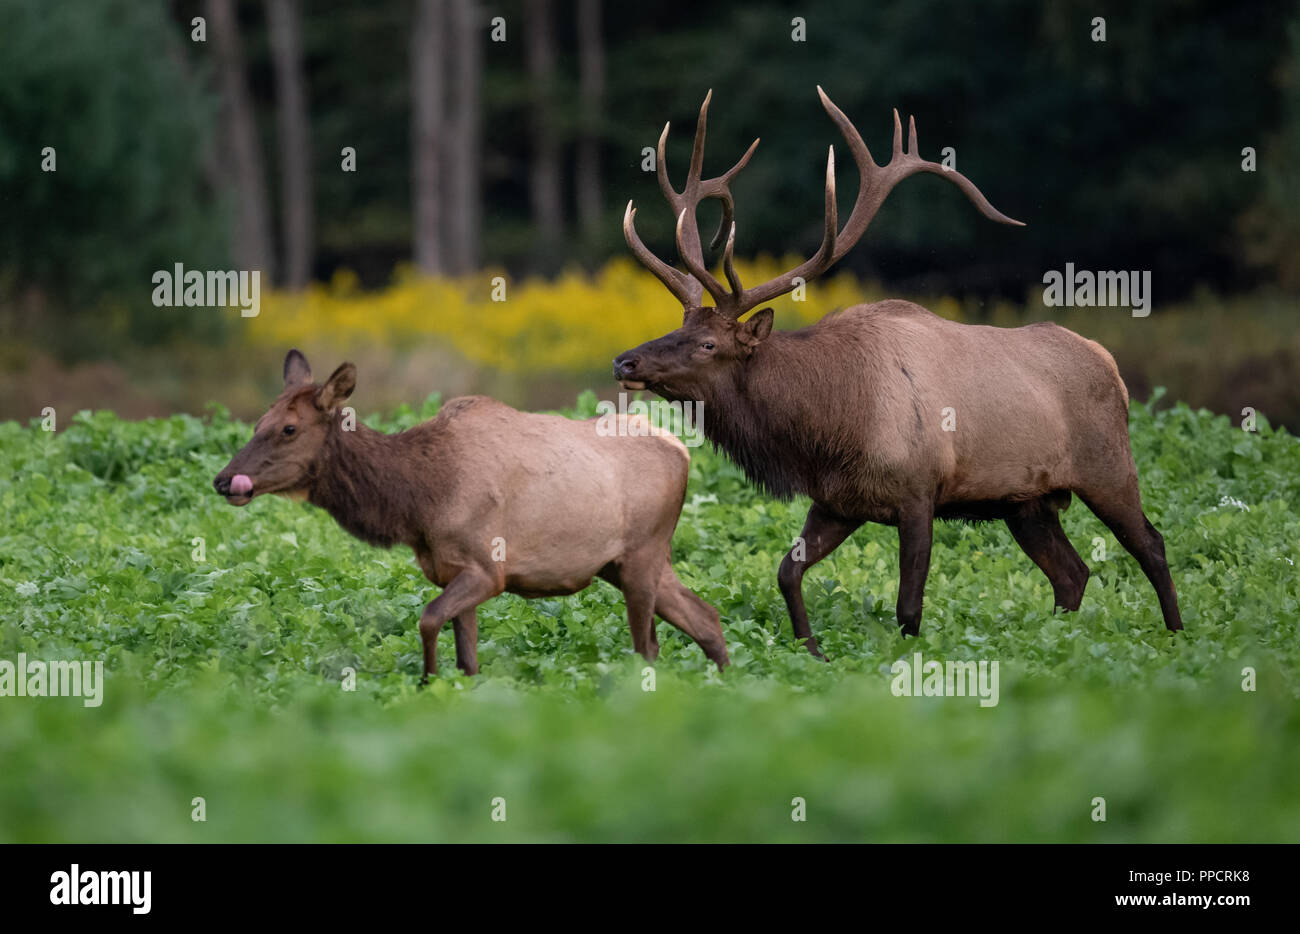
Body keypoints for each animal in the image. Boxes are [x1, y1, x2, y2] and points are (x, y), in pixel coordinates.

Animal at [213, 350, 729, 679]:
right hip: (623, 564)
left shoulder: (487, 568)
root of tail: (682, 450)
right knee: (706, 617)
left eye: (288, 428)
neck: (417, 501)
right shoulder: (451, 571)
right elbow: (468, 658)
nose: (224, 480)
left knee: (649, 646)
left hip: (642, 553)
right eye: (256, 423)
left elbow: (427, 620)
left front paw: (425, 683)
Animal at [612, 88, 1183, 656]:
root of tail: (1109, 363)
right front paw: (812, 653)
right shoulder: (838, 501)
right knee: (1072, 573)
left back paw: (1179, 636)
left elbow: (908, 607)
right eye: (678, 327)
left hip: (1106, 465)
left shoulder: (918, 491)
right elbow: (786, 574)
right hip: (1028, 501)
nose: (624, 361)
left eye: (708, 343)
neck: (828, 429)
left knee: (1151, 544)